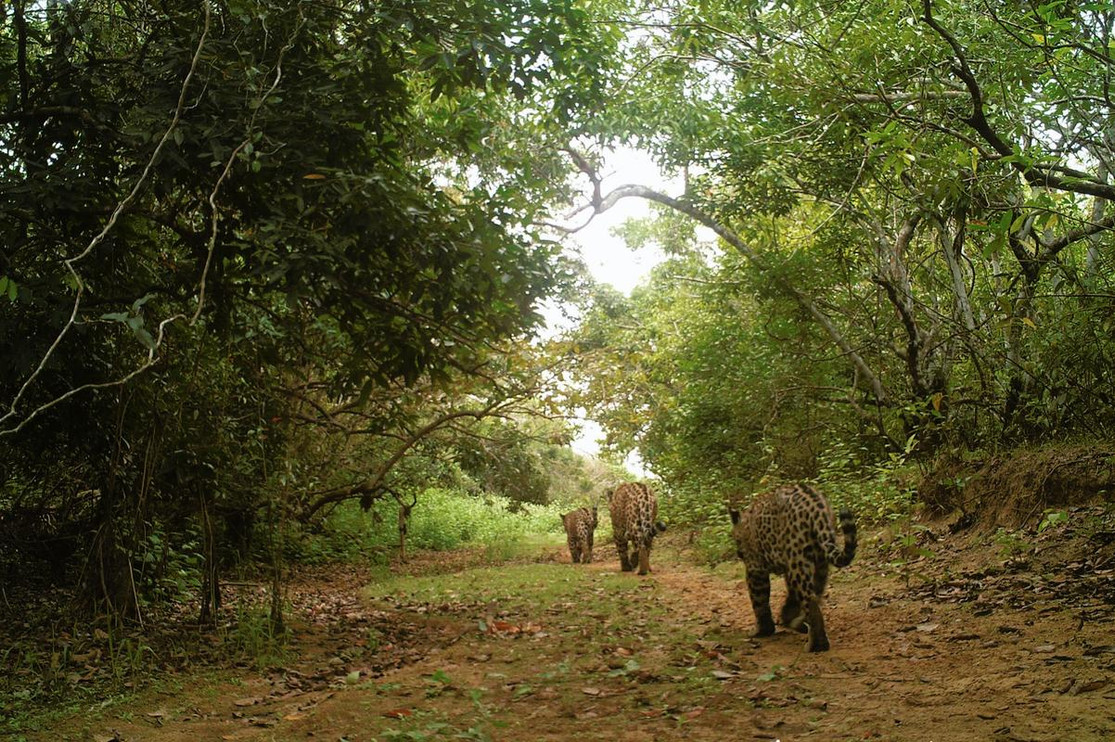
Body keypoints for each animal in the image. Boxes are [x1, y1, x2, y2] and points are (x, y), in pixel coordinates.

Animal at [728, 483, 857, 652]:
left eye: (736, 539)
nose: (739, 553)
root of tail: (818, 506)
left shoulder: (755, 567)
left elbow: (759, 600)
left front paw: (762, 630)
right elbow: (792, 596)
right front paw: (788, 617)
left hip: (798, 558)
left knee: (810, 600)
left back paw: (816, 644)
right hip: (818, 561)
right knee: (815, 593)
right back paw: (803, 626)